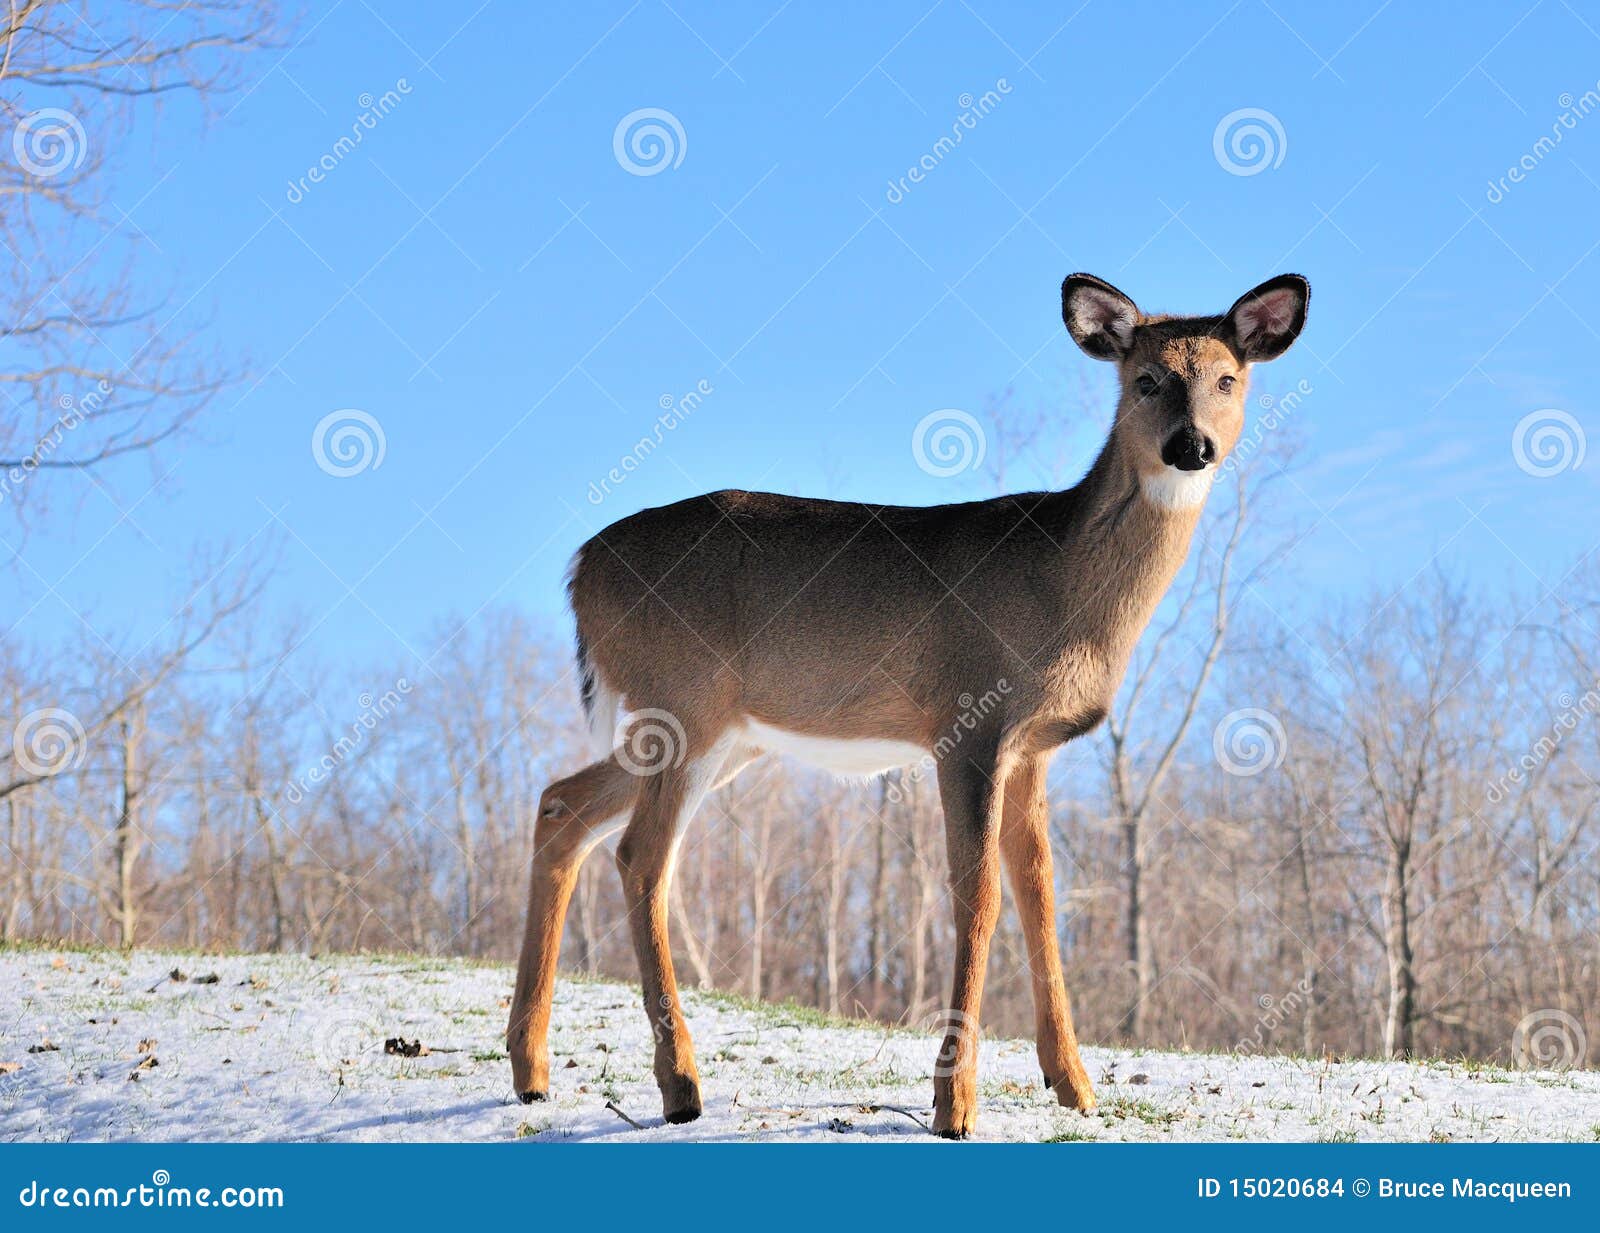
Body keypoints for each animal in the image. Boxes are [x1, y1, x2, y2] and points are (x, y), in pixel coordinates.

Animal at [507, 272, 1309, 1137]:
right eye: (1147, 380)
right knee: (641, 856)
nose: (1191, 445)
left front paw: (1074, 1084)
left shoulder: (1033, 747)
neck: (1061, 581)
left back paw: (532, 1070)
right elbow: (978, 894)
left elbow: (1040, 892)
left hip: (717, 733)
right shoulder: (969, 719)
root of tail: (581, 568)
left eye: (1228, 378)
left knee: (563, 806)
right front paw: (955, 1102)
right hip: (684, 702)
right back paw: (679, 1083)